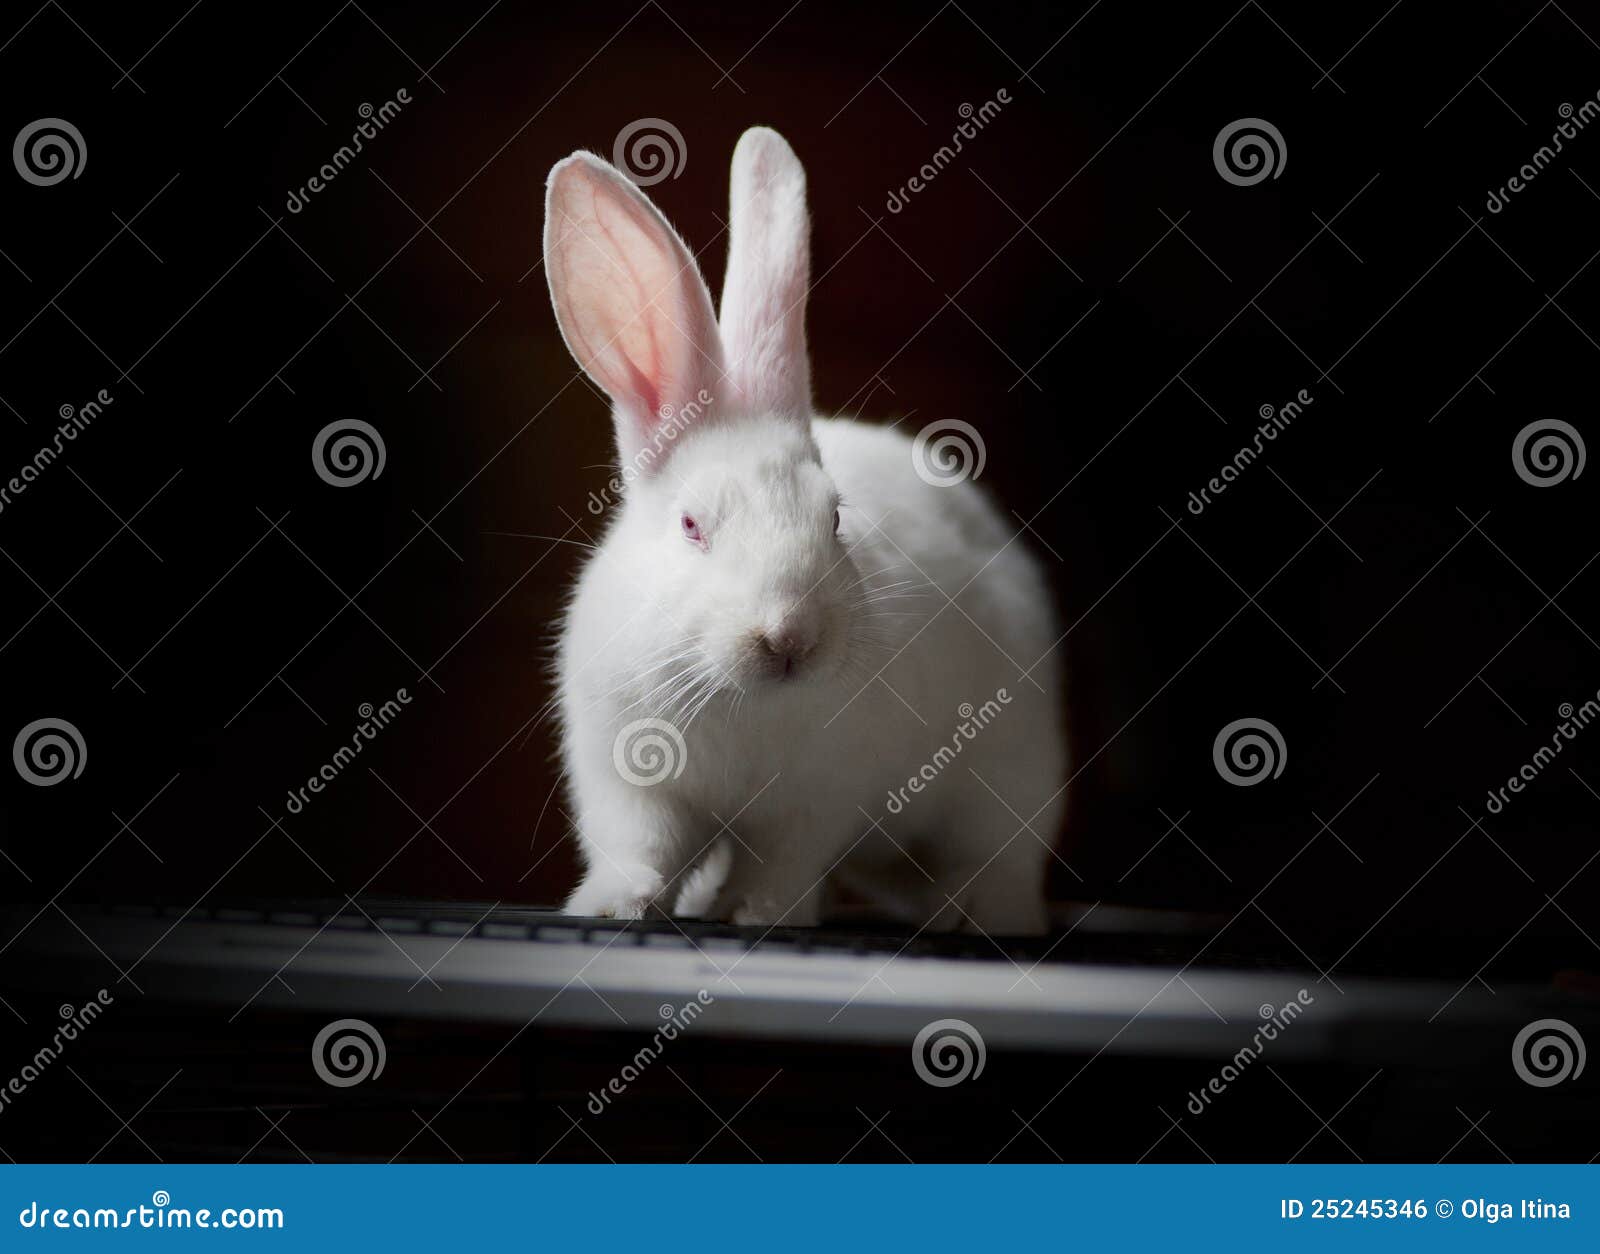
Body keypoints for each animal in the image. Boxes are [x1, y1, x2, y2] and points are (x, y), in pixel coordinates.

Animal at [544, 126, 1067, 934]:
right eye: (692, 525)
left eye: (835, 518)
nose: (789, 636)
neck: (736, 698)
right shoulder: (628, 781)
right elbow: (641, 847)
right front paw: (611, 906)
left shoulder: (816, 802)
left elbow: (783, 862)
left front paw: (759, 914)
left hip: (1010, 772)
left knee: (1001, 857)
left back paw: (970, 910)